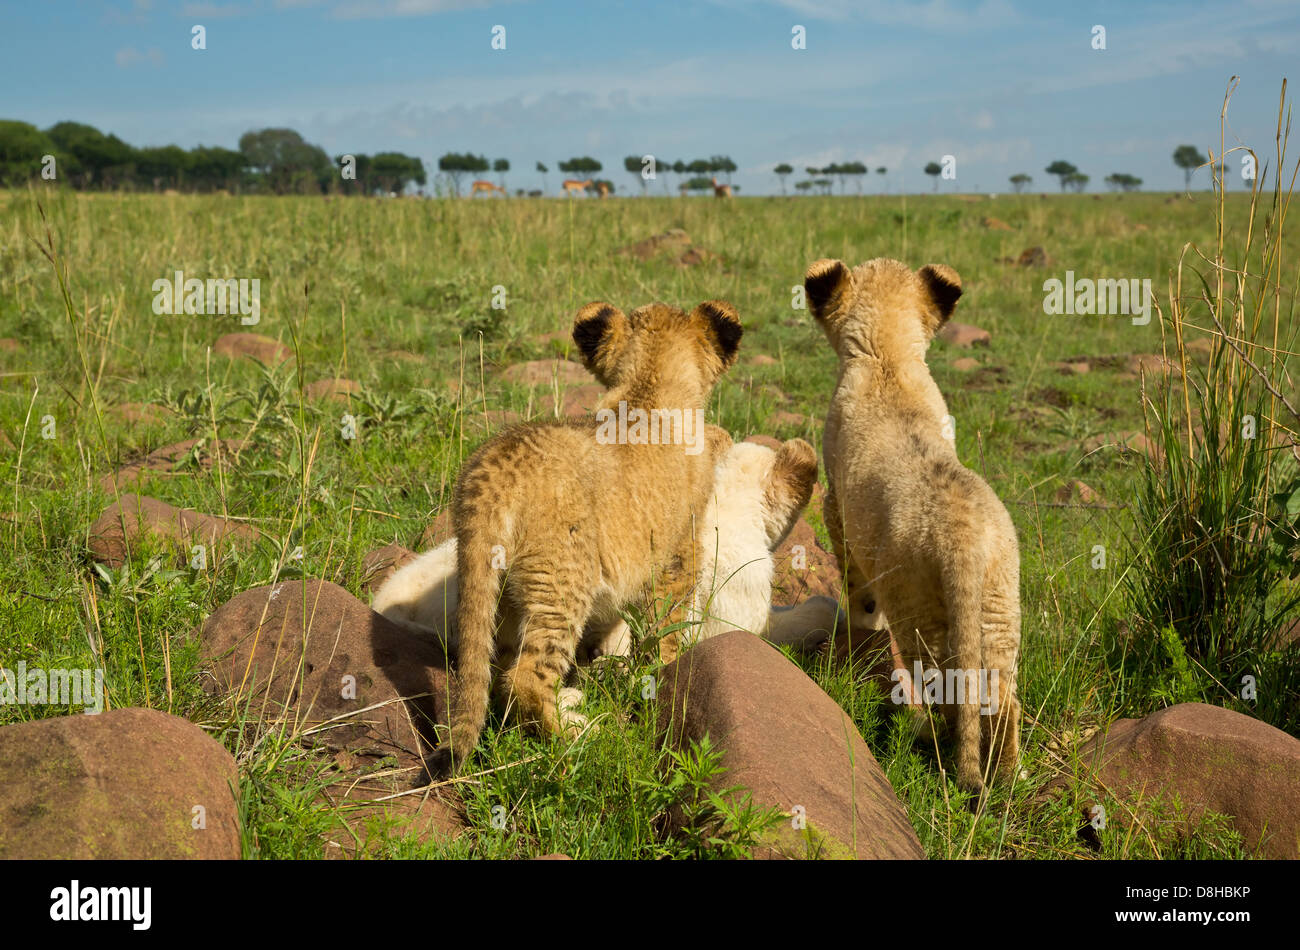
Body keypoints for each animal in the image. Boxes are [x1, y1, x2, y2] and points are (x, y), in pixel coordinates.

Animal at [430, 299, 742, 774]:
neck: (648, 389)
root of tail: (496, 465)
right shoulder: (677, 556)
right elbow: (663, 634)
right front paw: (664, 677)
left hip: (495, 584)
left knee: (498, 666)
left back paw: (566, 705)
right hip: (563, 577)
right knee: (524, 676)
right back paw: (580, 734)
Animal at [804, 257, 1021, 794]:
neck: (889, 358)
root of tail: (963, 540)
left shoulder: (836, 504)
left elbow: (855, 585)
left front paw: (862, 624)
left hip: (919, 610)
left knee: (951, 695)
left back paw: (936, 749)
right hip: (1000, 604)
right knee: (1001, 700)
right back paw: (1009, 779)